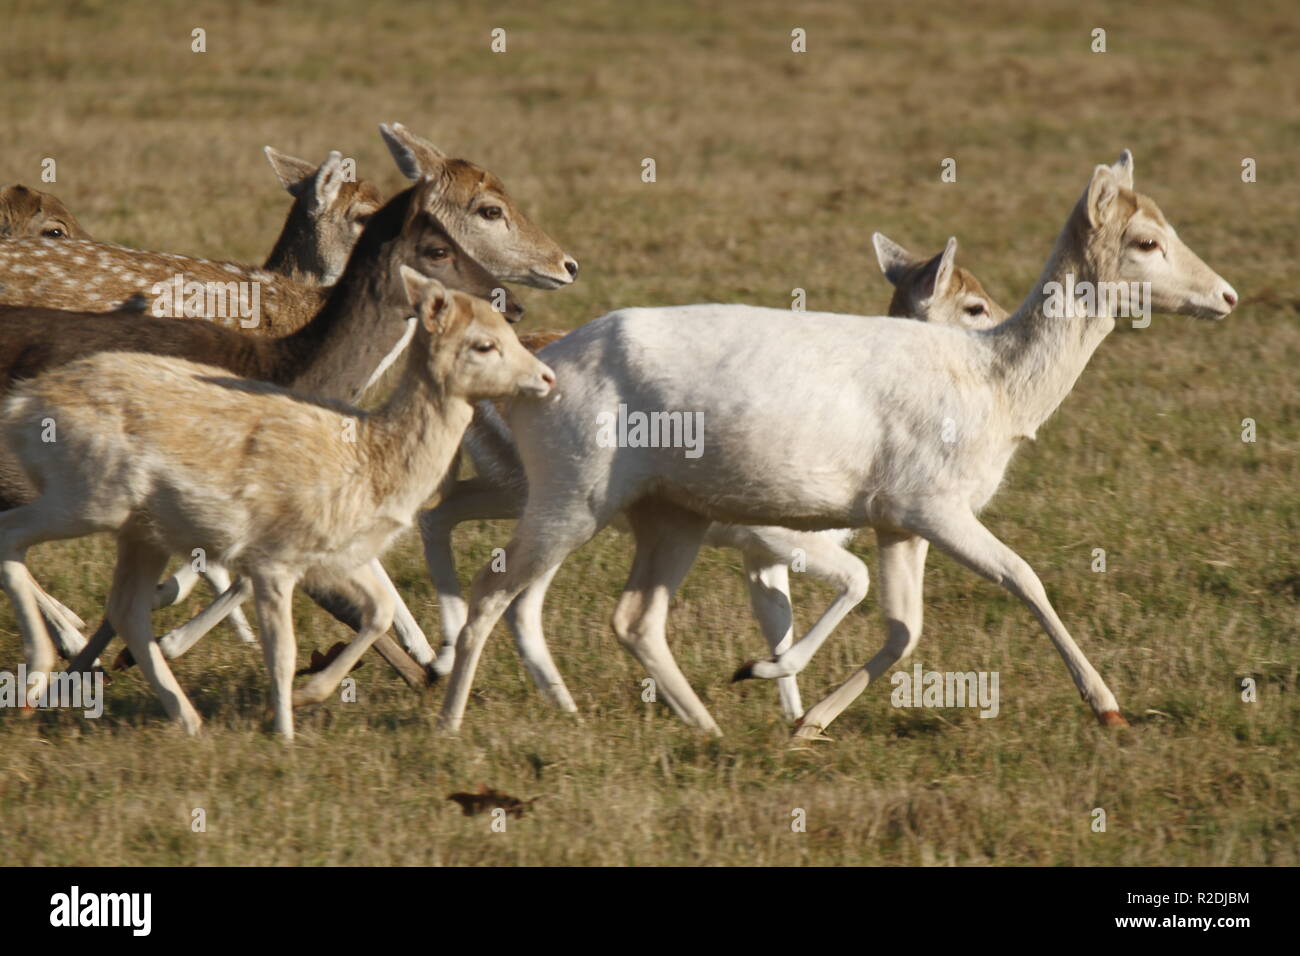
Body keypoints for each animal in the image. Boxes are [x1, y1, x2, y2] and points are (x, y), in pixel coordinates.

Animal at [0, 271, 555, 738]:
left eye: (506, 329)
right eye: (484, 344)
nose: (547, 378)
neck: (372, 459)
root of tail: (23, 407)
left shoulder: (341, 555)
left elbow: (378, 611)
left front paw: (309, 697)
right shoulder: (274, 558)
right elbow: (282, 650)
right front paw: (284, 733)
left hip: (141, 531)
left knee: (127, 608)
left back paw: (189, 719)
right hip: (88, 496)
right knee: (13, 535)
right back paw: (38, 673)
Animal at [418, 235, 1007, 721]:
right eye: (973, 305)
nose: (1004, 329)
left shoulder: (761, 556)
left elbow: (777, 621)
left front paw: (793, 718)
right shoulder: (774, 535)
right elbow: (843, 587)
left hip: (523, 495)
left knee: (453, 527)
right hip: (559, 503)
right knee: (504, 585)